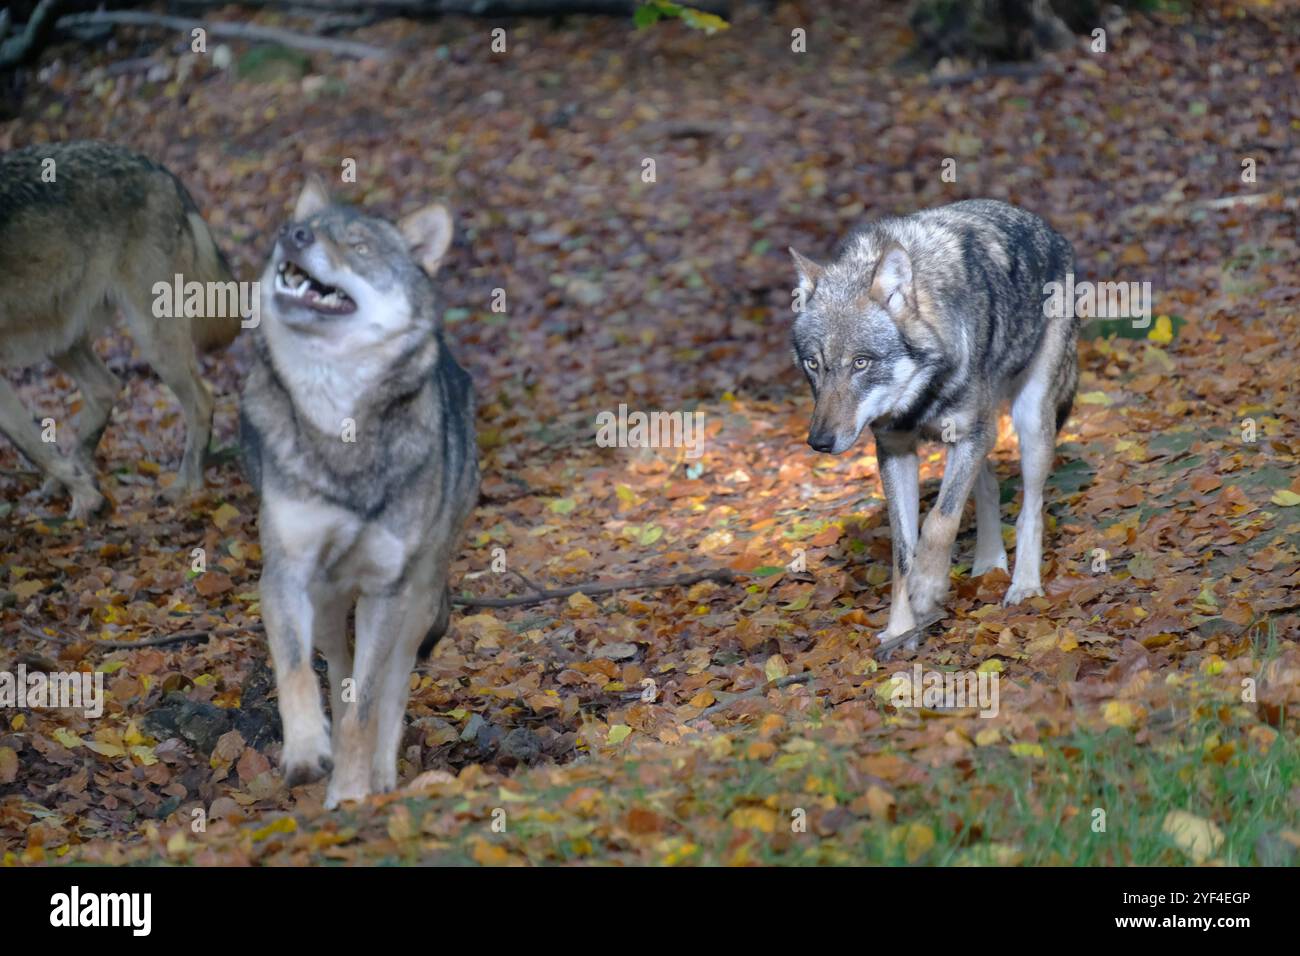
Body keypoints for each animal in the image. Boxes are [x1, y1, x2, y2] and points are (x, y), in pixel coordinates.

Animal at [0, 140, 242, 518]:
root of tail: (161, 170)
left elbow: (30, 444)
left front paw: (87, 496)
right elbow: (30, 443)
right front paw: (84, 491)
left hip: (151, 336)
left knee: (201, 401)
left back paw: (184, 488)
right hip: (60, 339)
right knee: (106, 387)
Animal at [240, 176, 479, 808]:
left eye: (358, 246)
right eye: (303, 229)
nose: (292, 234)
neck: (340, 425)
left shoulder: (385, 589)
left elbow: (367, 709)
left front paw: (350, 794)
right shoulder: (286, 574)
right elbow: (298, 673)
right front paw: (305, 754)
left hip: (417, 601)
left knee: (390, 688)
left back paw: (382, 777)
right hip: (326, 603)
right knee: (338, 670)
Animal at [790, 199, 1077, 646]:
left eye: (861, 363)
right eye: (813, 365)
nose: (819, 441)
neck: (919, 401)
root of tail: (1049, 229)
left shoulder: (971, 437)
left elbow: (939, 522)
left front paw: (927, 589)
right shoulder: (895, 451)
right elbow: (903, 551)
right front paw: (900, 629)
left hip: (1028, 420)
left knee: (1031, 507)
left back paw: (1025, 585)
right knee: (988, 487)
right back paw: (988, 564)